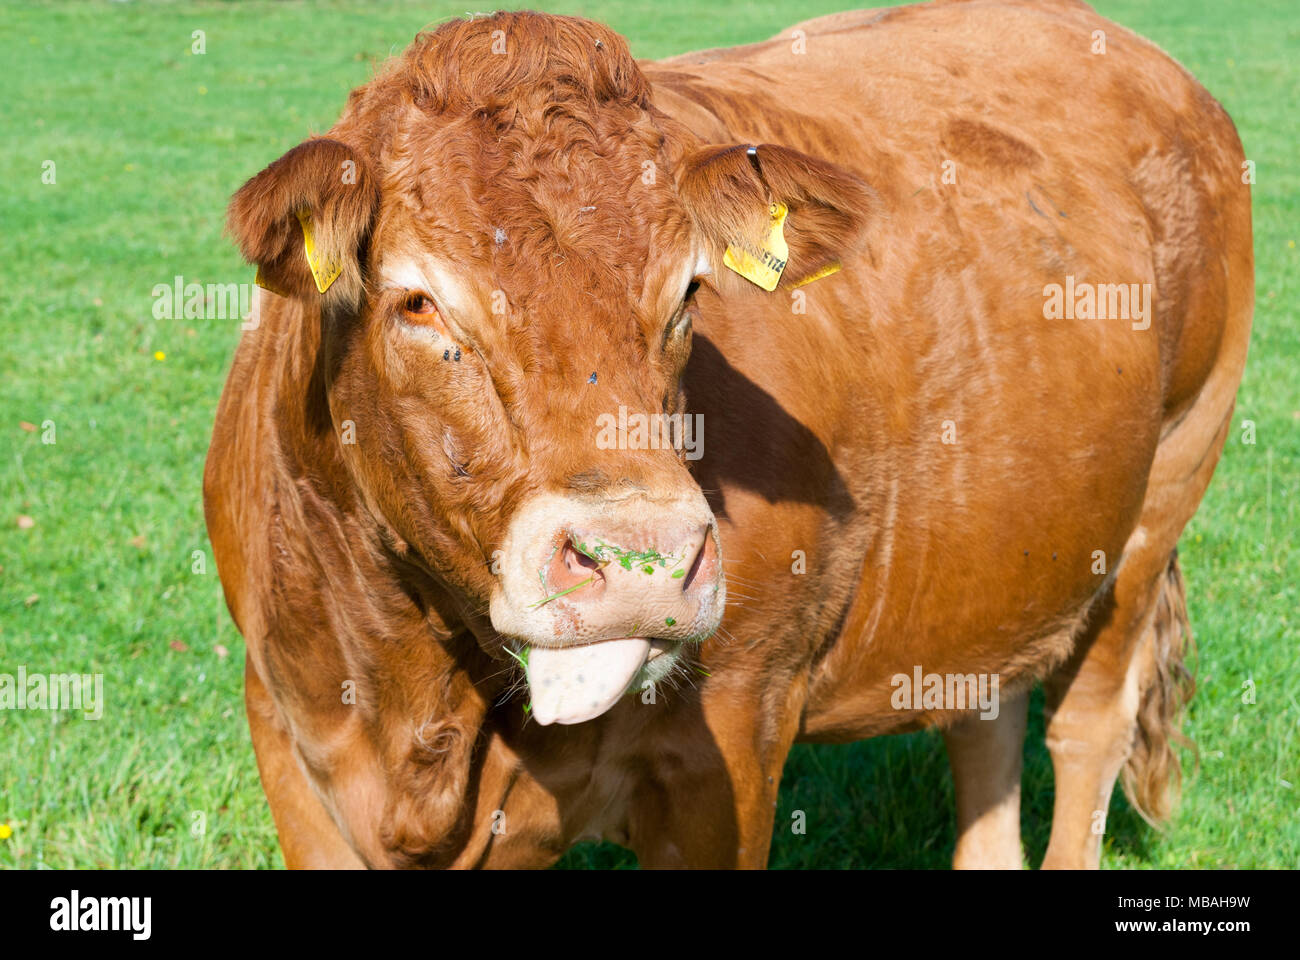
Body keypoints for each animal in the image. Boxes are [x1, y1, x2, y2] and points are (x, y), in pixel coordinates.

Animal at [204, 1, 1253, 868]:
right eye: (417, 302)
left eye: (689, 291)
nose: (645, 561)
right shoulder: (289, 745)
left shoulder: (734, 741)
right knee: (985, 722)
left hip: (1163, 494)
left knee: (1088, 728)